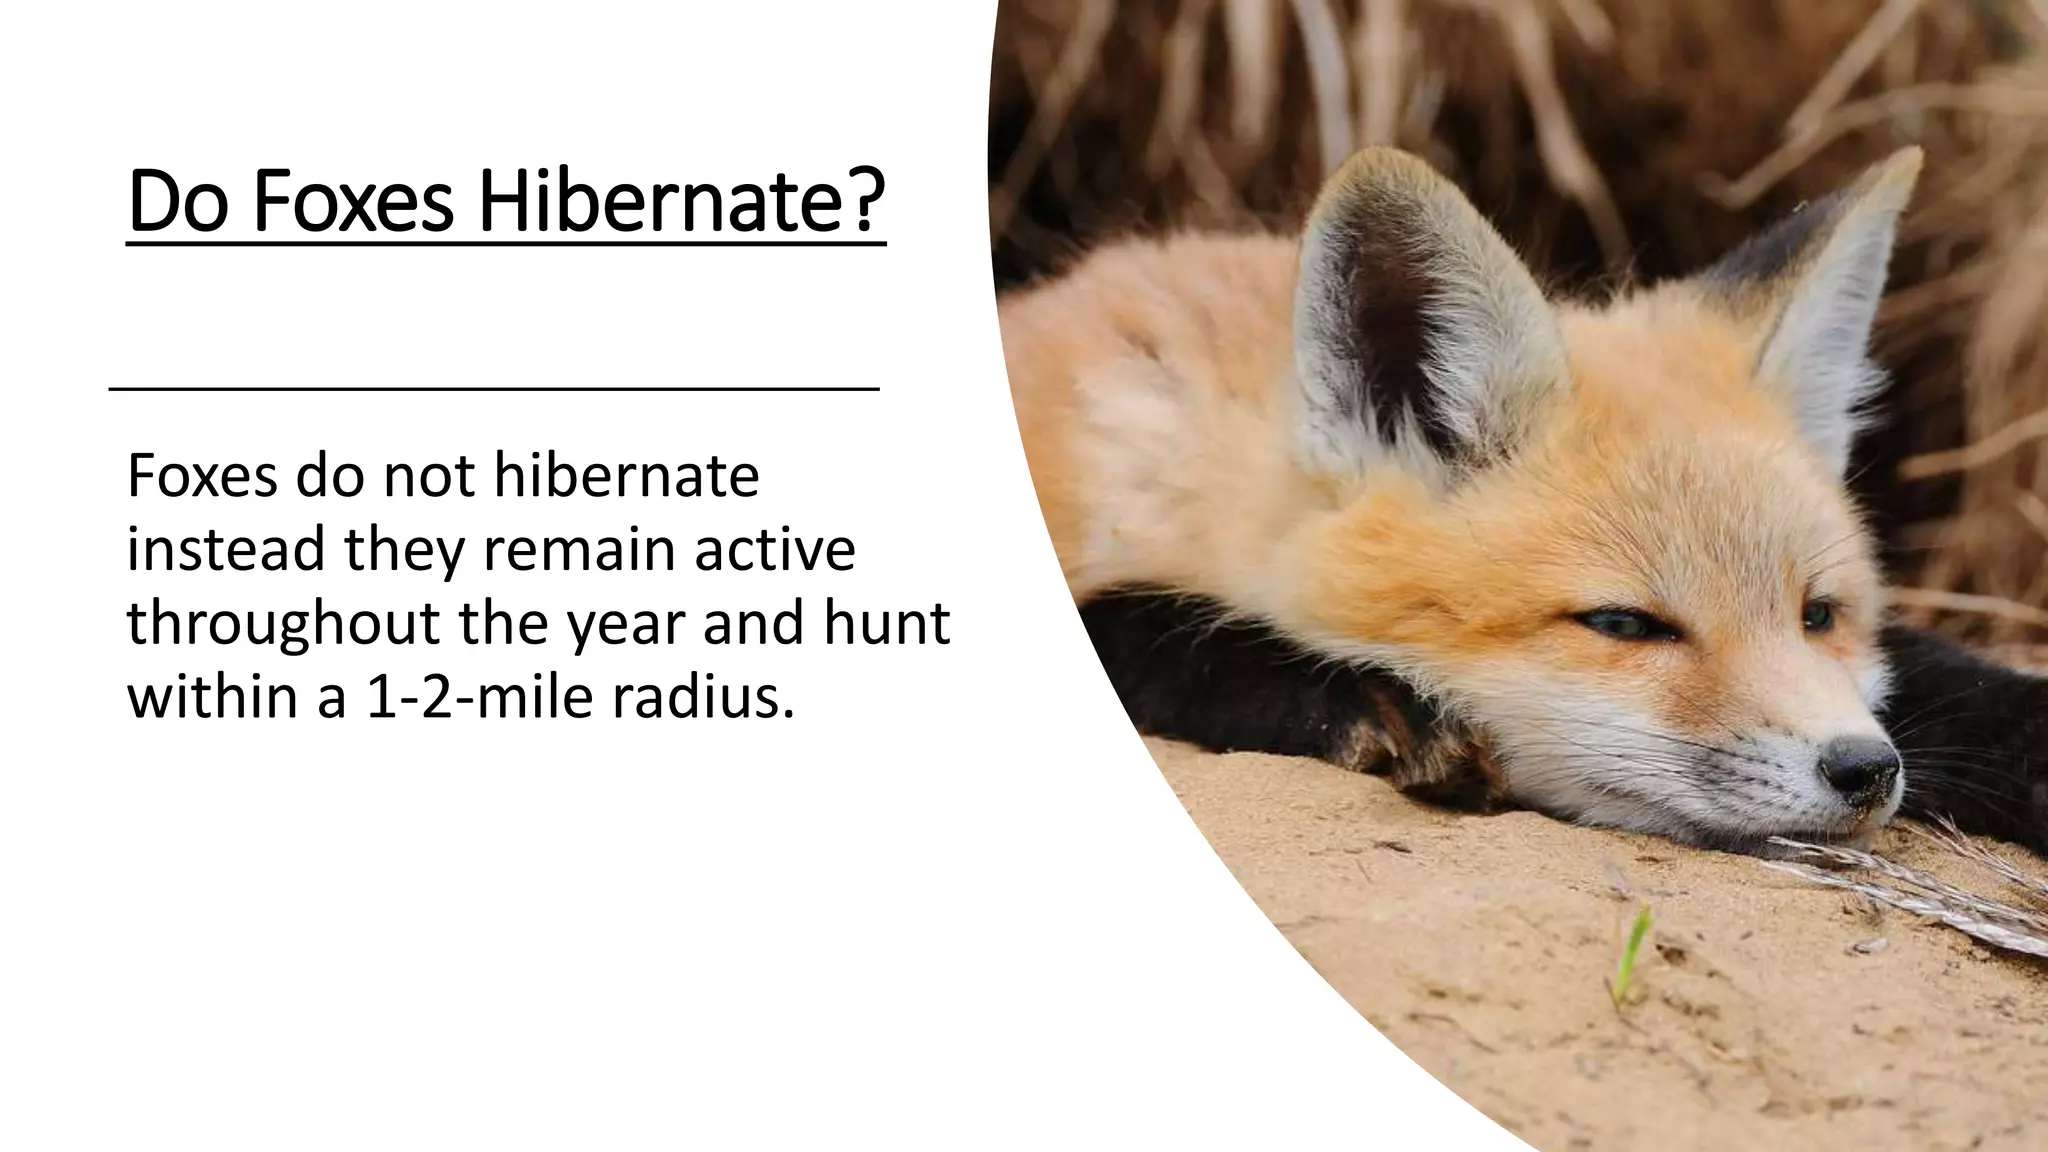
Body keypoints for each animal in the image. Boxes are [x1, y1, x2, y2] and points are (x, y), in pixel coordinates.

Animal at [1001, 145, 2048, 855]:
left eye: (1819, 615)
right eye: (1625, 625)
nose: (1864, 769)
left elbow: (1946, 675)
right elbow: (1163, 627)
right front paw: (1381, 704)